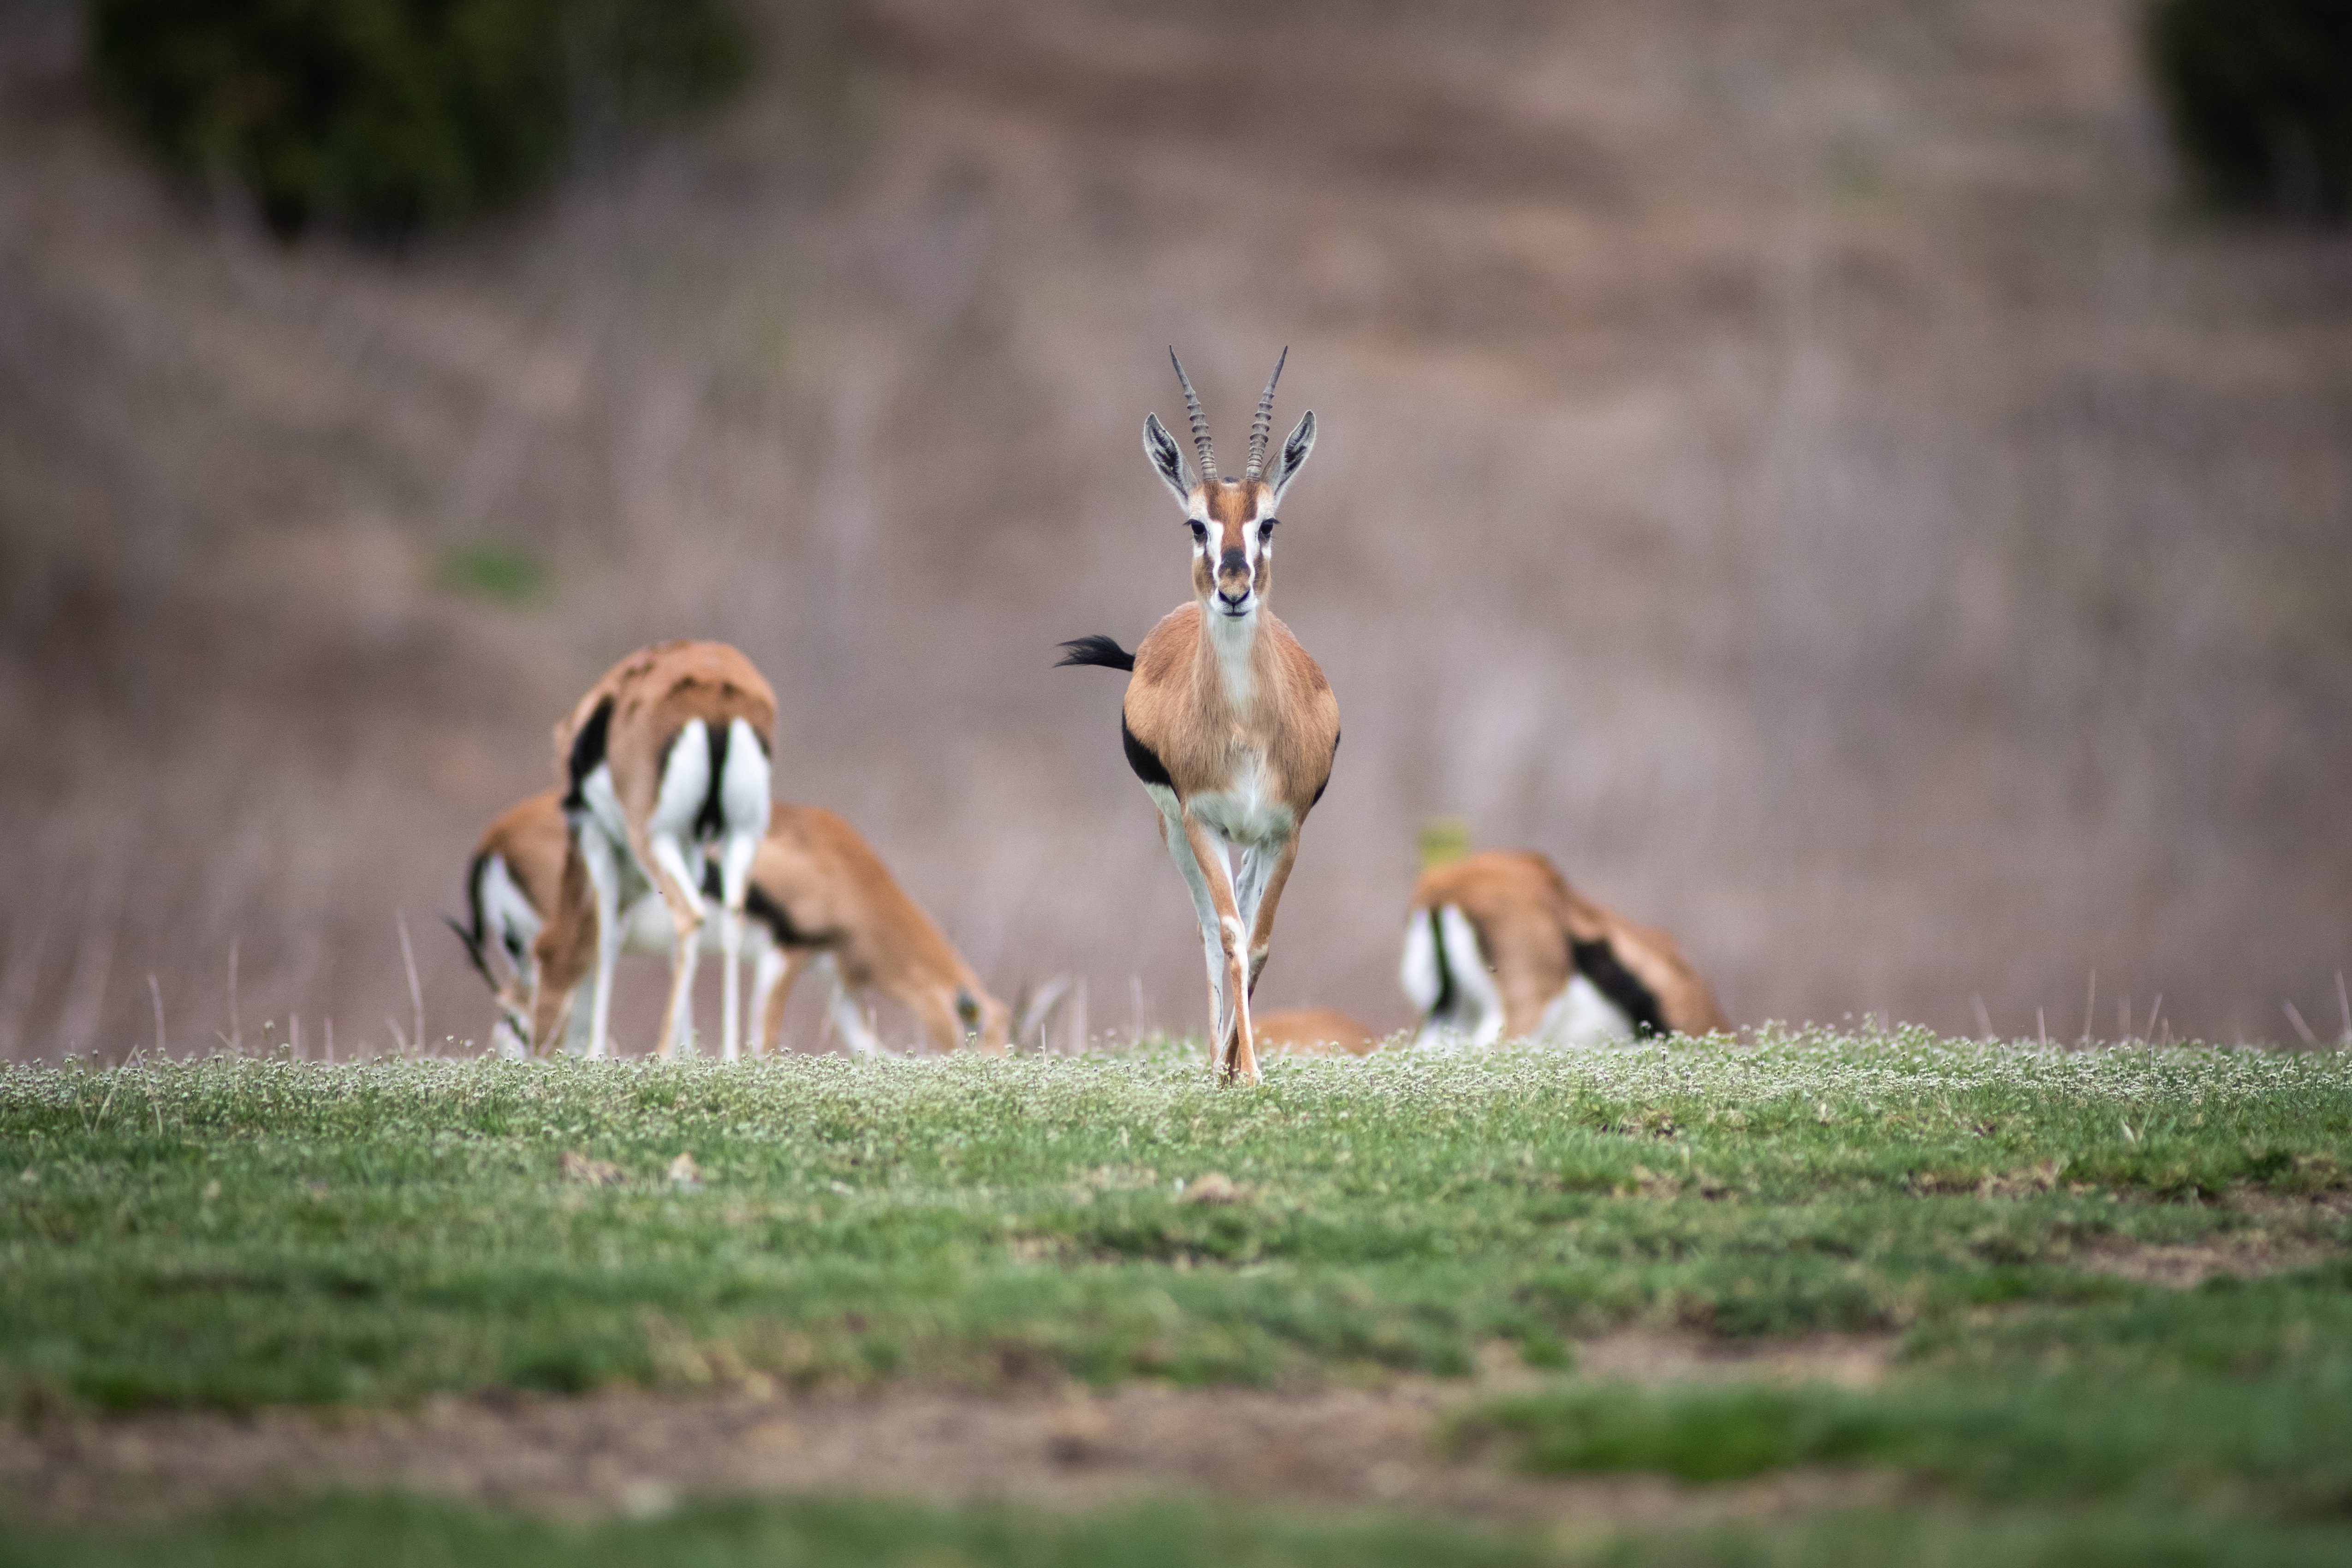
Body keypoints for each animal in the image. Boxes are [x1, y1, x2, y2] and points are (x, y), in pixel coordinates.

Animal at [530, 641, 775, 1060]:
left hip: (652, 838)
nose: (535, 1049)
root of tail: (716, 695)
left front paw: (595, 1054)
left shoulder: (596, 837)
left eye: (540, 959)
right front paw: (691, 1051)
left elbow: (606, 938)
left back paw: (661, 1055)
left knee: (689, 916)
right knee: (730, 921)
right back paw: (729, 1056)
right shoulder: (692, 845)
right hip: (740, 835)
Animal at [1059, 348, 1339, 1085]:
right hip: (1174, 834)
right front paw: (1239, 1072)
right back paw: (1217, 1063)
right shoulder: (1200, 821)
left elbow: (1261, 940)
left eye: (1268, 522)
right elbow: (1232, 935)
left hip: (1246, 842)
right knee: (1211, 928)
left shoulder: (1286, 832)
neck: (1246, 730)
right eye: (1196, 524)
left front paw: (1247, 1068)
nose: (1233, 589)